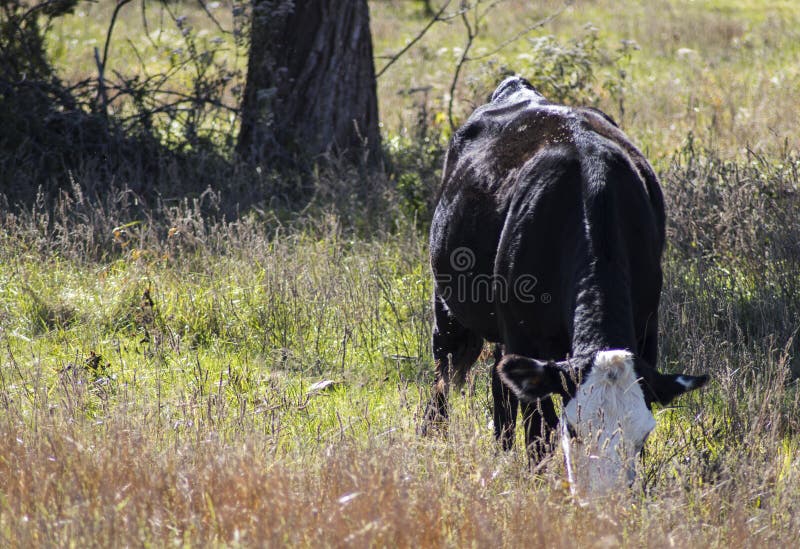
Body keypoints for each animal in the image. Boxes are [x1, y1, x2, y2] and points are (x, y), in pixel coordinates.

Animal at [420, 76, 708, 495]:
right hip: (450, 310)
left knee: (498, 382)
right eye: (573, 430)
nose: (606, 502)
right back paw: (433, 440)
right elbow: (539, 432)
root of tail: (519, 87)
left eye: (642, 436)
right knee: (443, 379)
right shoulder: (527, 340)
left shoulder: (647, 332)